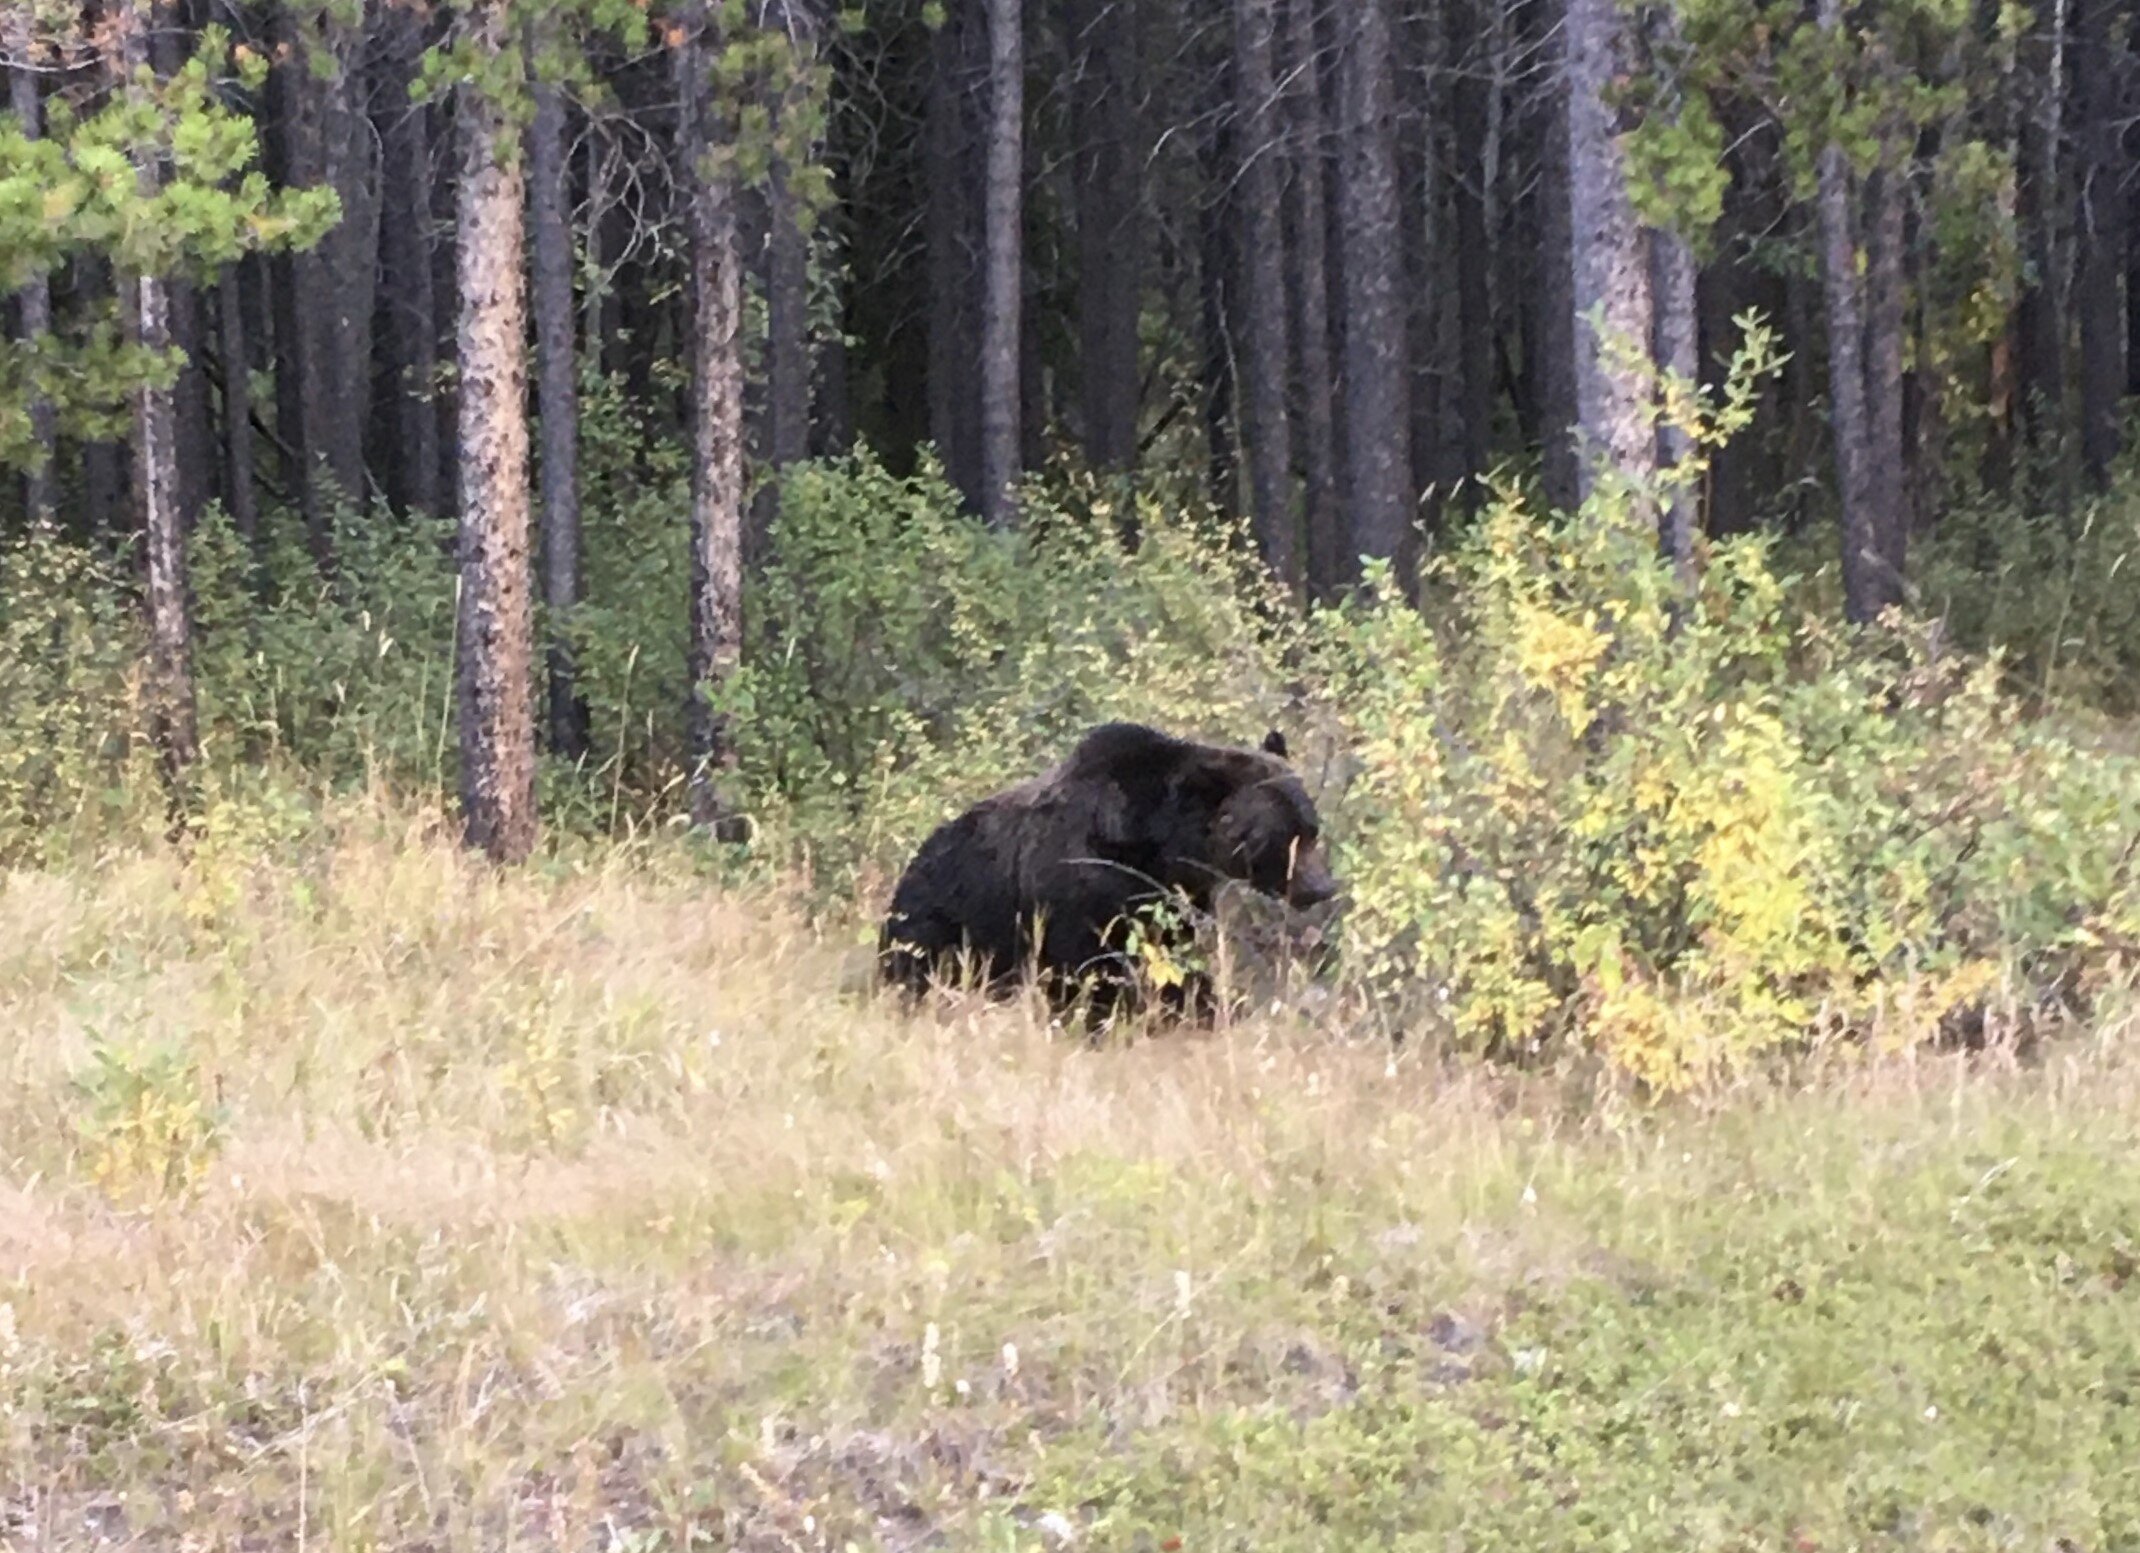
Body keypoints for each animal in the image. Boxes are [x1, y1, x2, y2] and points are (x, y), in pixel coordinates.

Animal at [877, 721, 1338, 1020]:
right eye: (1287, 837)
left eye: (1311, 828)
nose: (1322, 887)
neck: (1157, 843)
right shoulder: (1083, 888)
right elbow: (1091, 968)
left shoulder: (1174, 896)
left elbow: (1173, 958)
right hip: (943, 928)